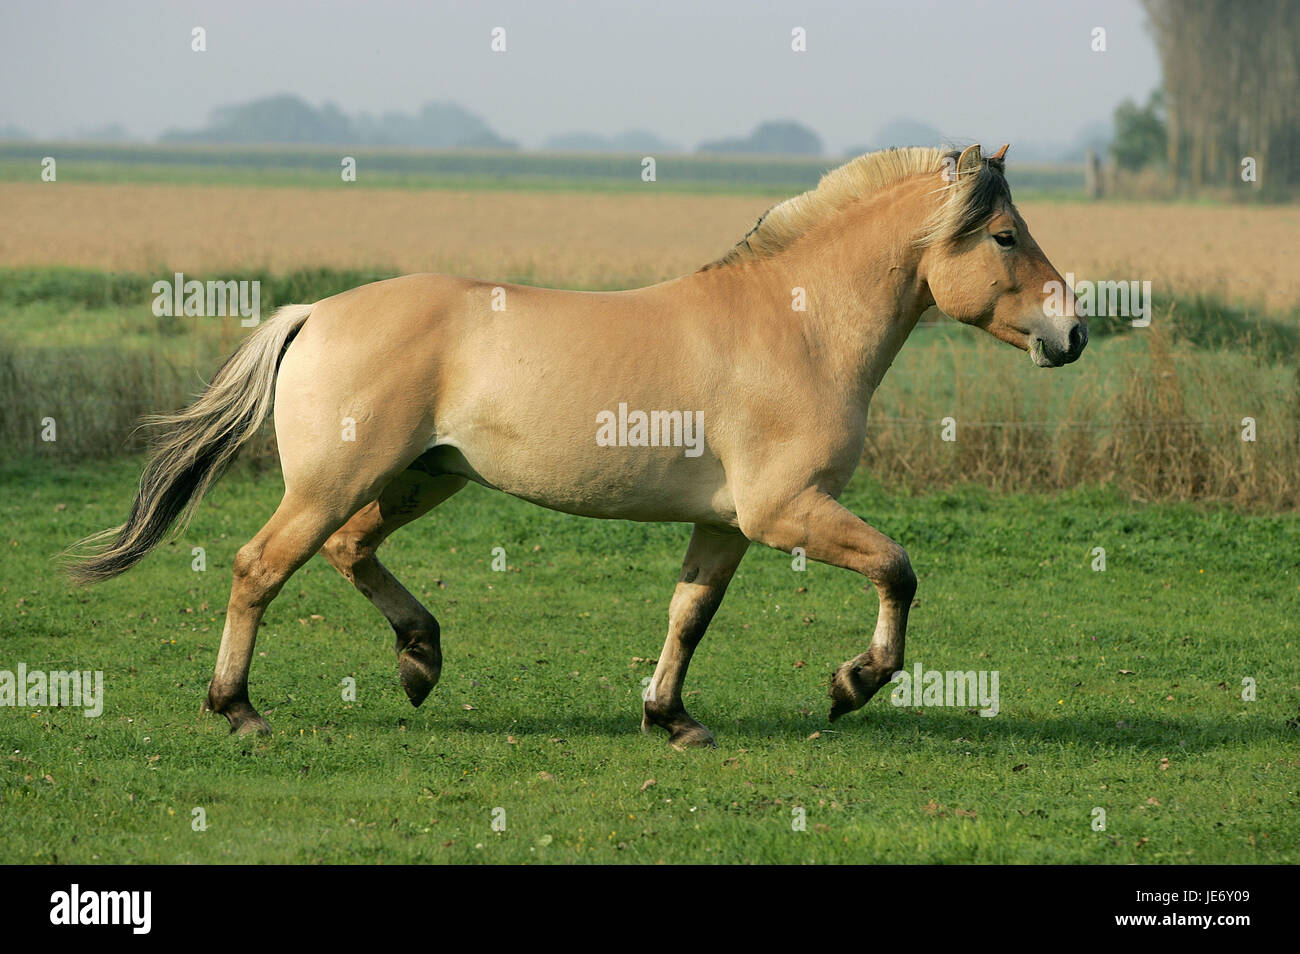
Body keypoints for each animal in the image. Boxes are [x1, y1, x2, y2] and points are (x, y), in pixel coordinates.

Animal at [69, 143, 1087, 747]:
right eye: (1005, 235)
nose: (1072, 334)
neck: (796, 326)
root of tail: (315, 312)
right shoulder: (785, 512)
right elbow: (897, 570)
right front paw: (852, 683)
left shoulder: (727, 525)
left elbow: (689, 616)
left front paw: (670, 718)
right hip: (336, 481)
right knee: (259, 567)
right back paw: (239, 707)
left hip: (419, 480)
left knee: (348, 550)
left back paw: (420, 659)